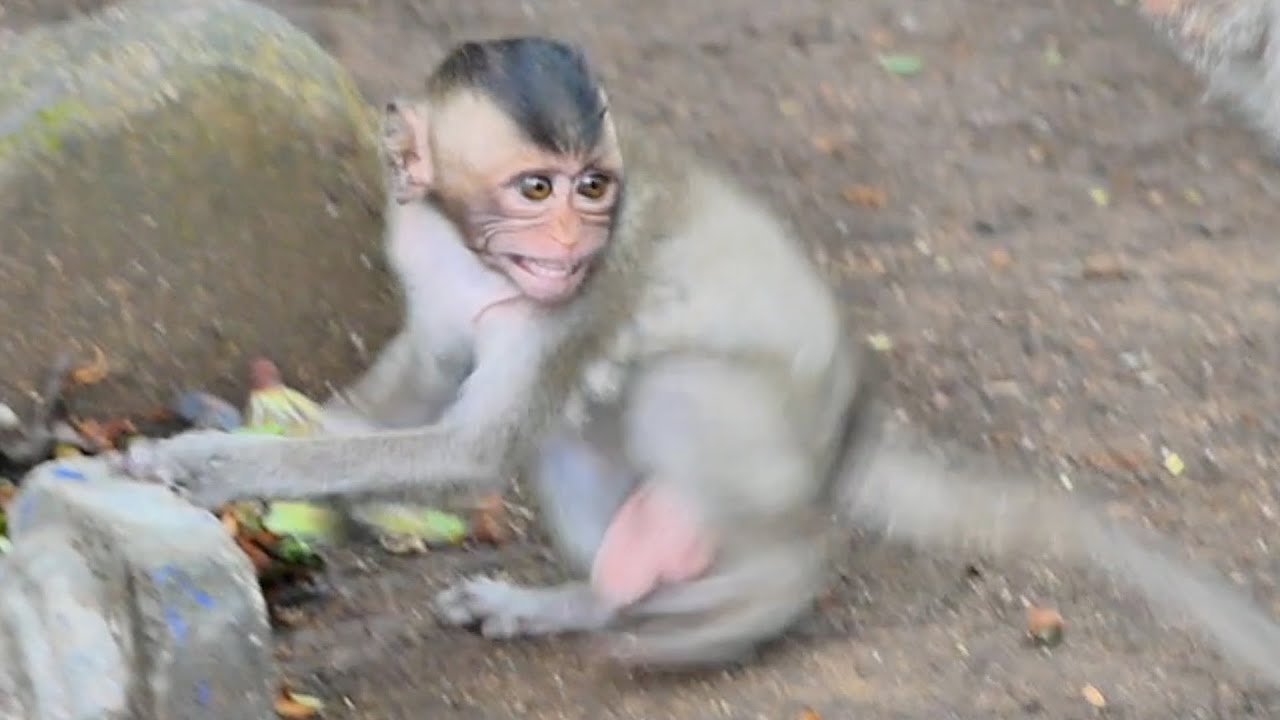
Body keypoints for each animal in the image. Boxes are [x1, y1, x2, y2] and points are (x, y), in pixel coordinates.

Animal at [104, 36, 1280, 684]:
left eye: (593, 189)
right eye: (534, 187)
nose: (569, 241)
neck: (474, 254)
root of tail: (851, 430)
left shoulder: (588, 294)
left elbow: (473, 446)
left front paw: (210, 466)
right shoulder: (424, 252)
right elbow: (426, 373)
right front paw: (262, 435)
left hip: (769, 458)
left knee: (677, 393)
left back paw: (758, 597)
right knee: (579, 436)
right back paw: (580, 607)